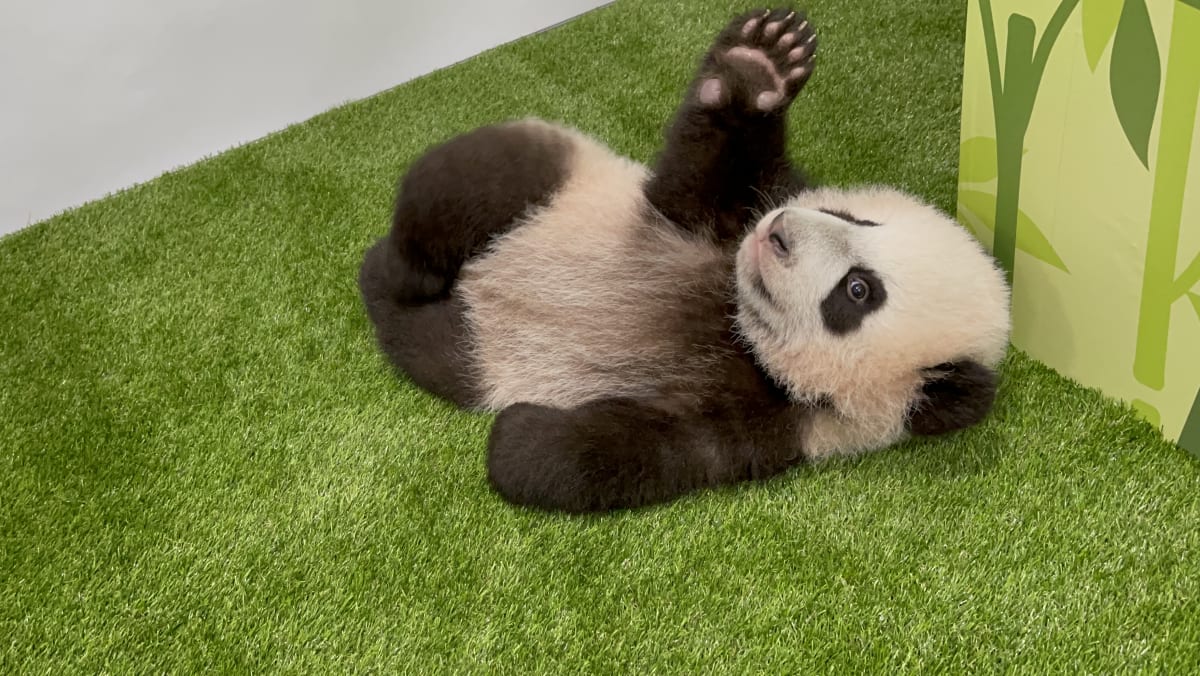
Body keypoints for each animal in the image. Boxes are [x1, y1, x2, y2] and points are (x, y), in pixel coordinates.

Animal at [357, 6, 1012, 513]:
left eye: (858, 291)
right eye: (853, 217)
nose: (778, 233)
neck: (734, 318)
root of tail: (473, 288)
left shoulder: (780, 425)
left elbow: (636, 450)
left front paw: (517, 437)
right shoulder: (714, 221)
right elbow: (695, 179)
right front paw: (758, 67)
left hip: (473, 352)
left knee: (426, 339)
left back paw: (386, 283)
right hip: (553, 182)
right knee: (471, 175)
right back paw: (400, 262)